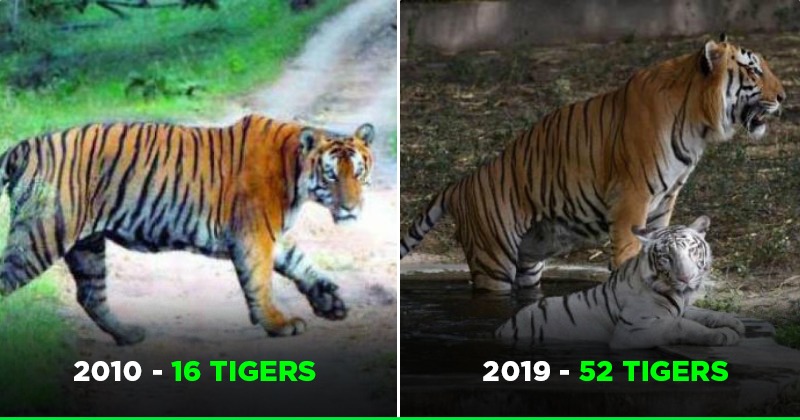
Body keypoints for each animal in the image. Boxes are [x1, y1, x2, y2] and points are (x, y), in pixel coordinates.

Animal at [0, 114, 375, 345]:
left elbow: (299, 262)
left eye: (357, 173)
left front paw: (329, 301)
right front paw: (277, 323)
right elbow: (260, 282)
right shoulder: (254, 235)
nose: (350, 208)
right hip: (39, 237)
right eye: (331, 175)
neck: (295, 171)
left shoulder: (270, 235)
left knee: (92, 295)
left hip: (87, 245)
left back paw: (128, 334)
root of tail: (26, 145)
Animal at [400, 34, 786, 291]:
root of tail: (459, 184)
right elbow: (629, 256)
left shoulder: (664, 201)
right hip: (492, 261)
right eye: (754, 71)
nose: (784, 96)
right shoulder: (632, 197)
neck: (698, 124)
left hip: (528, 260)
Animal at [495, 216, 746, 349]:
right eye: (666, 257)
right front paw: (723, 335)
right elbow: (683, 325)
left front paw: (734, 322)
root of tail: (501, 328)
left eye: (692, 250)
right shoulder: (633, 330)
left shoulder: (681, 308)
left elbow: (702, 313)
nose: (686, 278)